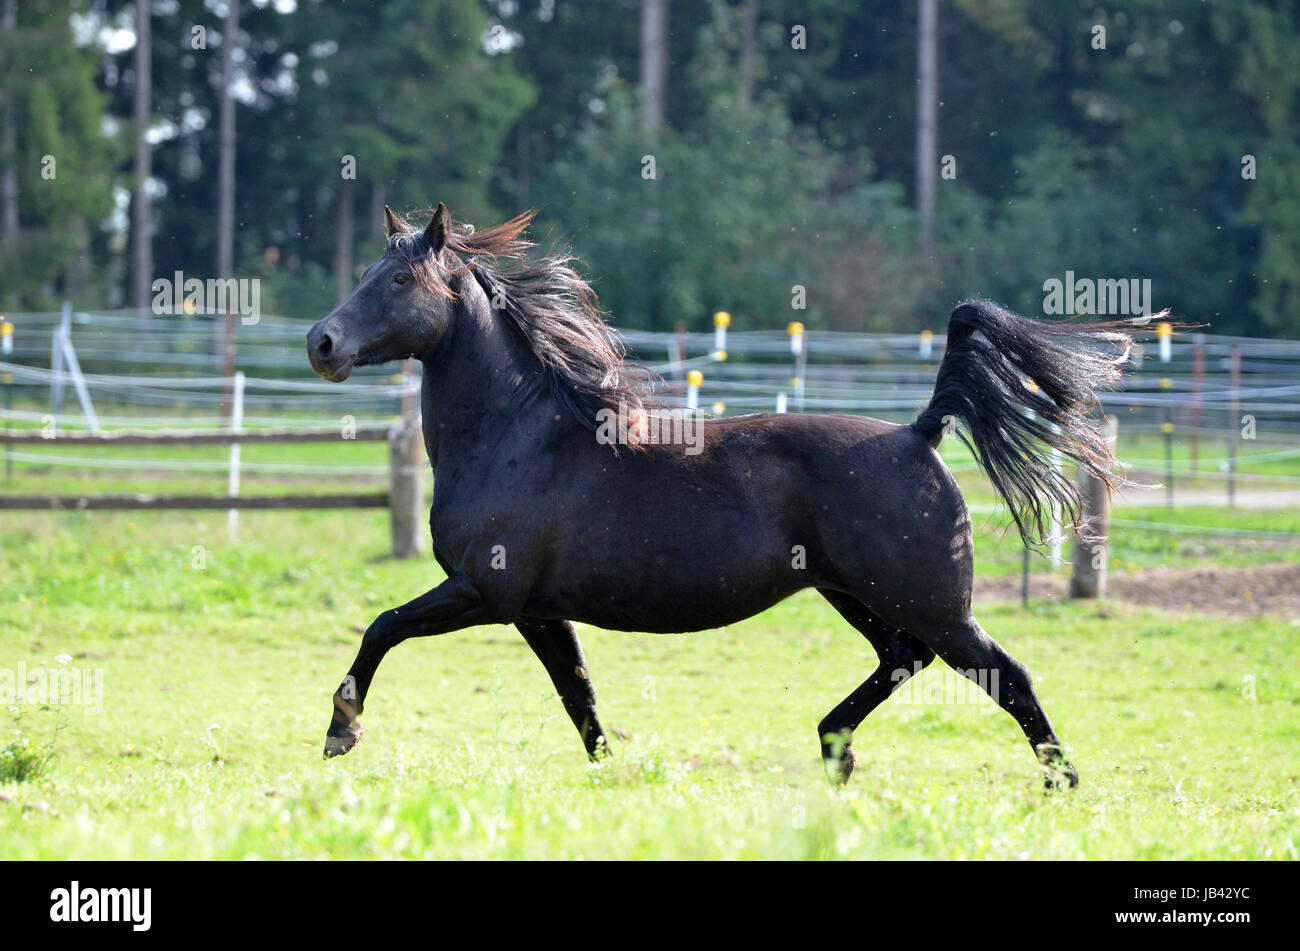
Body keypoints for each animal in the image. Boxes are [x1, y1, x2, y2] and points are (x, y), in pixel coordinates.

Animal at [307, 202, 1135, 788]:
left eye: (399, 281)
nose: (322, 342)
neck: (518, 436)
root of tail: (920, 432)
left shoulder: (483, 589)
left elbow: (382, 626)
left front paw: (341, 732)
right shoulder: (537, 609)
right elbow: (579, 694)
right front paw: (612, 775)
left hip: (930, 603)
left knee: (1004, 673)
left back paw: (1061, 780)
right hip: (855, 594)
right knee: (904, 657)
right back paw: (834, 748)